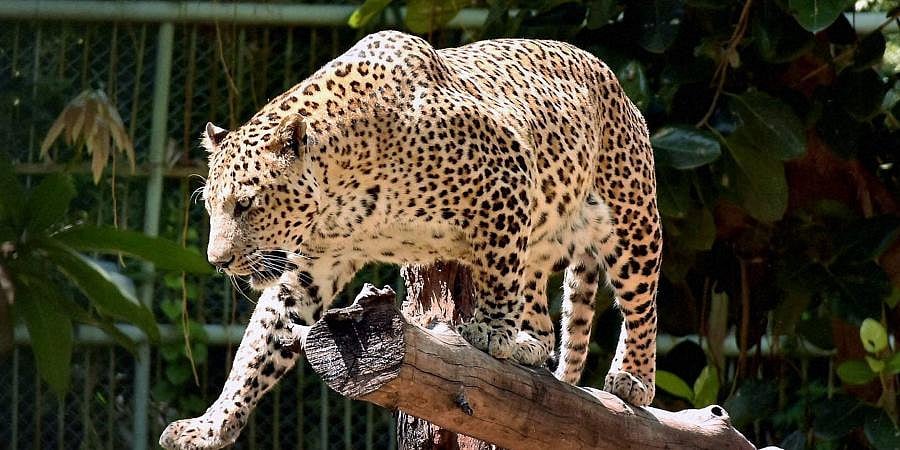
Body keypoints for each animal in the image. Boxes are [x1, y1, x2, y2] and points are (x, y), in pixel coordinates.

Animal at [160, 30, 661, 450]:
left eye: (246, 204)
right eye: (210, 207)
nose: (217, 261)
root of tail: (612, 78)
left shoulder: (509, 177)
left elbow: (498, 273)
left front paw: (490, 331)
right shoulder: (312, 267)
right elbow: (258, 348)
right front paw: (210, 425)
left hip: (633, 217)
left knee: (642, 304)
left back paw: (631, 377)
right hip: (543, 239)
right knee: (538, 306)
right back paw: (528, 344)